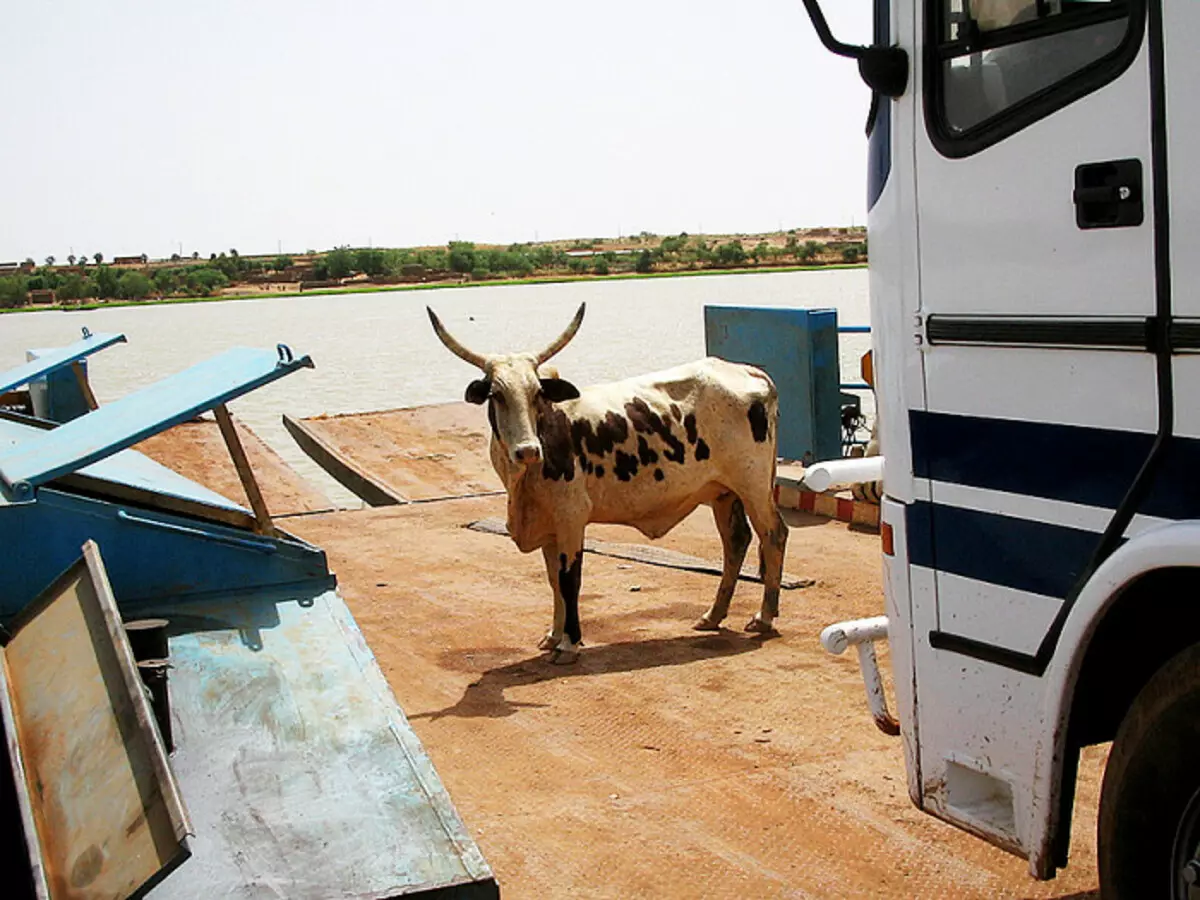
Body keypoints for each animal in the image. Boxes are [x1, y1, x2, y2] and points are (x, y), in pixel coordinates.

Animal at [429, 307, 787, 667]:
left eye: (537, 393)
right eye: (496, 395)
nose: (527, 450)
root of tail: (748, 371)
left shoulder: (571, 517)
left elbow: (569, 579)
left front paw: (569, 644)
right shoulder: (550, 524)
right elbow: (553, 580)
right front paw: (554, 635)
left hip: (753, 486)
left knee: (773, 534)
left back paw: (764, 617)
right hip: (722, 491)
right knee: (736, 542)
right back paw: (713, 615)